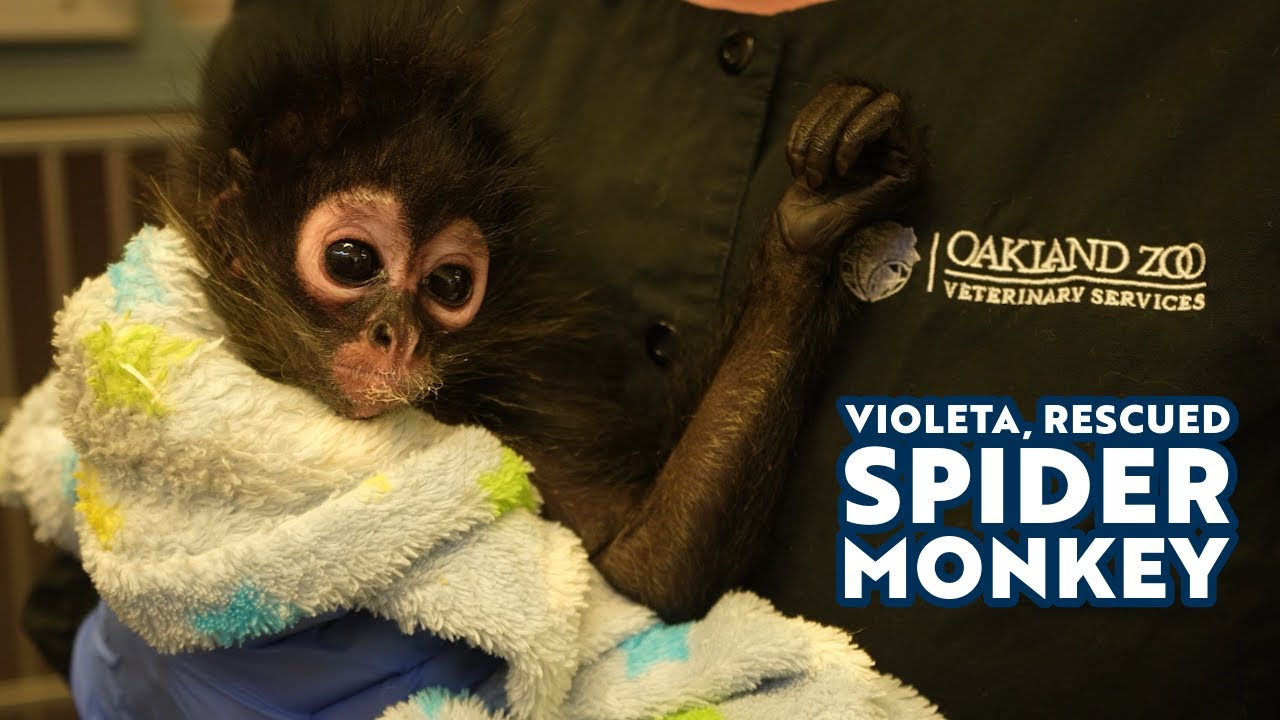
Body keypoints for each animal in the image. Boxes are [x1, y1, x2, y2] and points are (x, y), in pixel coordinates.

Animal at [148, 1, 923, 624]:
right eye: (350, 261)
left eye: (450, 283)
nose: (399, 337)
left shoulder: (518, 402)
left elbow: (647, 571)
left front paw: (814, 219)